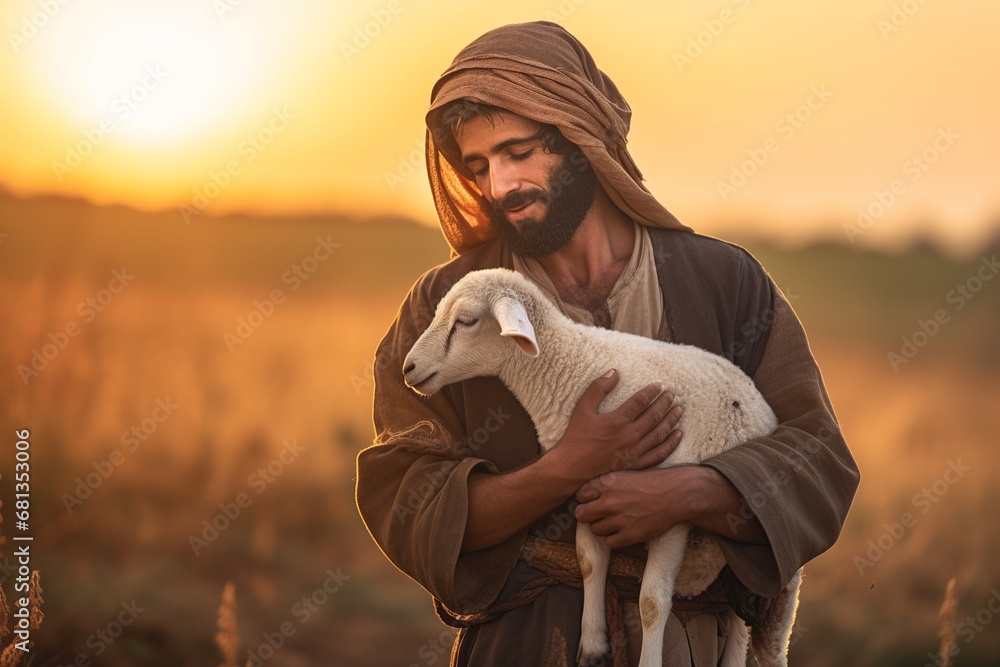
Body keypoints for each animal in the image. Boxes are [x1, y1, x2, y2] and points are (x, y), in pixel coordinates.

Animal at [402, 267, 802, 667]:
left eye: (466, 321)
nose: (408, 368)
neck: (576, 368)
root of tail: (760, 403)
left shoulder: (671, 507)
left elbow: (652, 602)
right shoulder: (588, 484)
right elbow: (589, 562)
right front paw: (593, 646)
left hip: (778, 587)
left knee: (760, 638)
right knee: (736, 619)